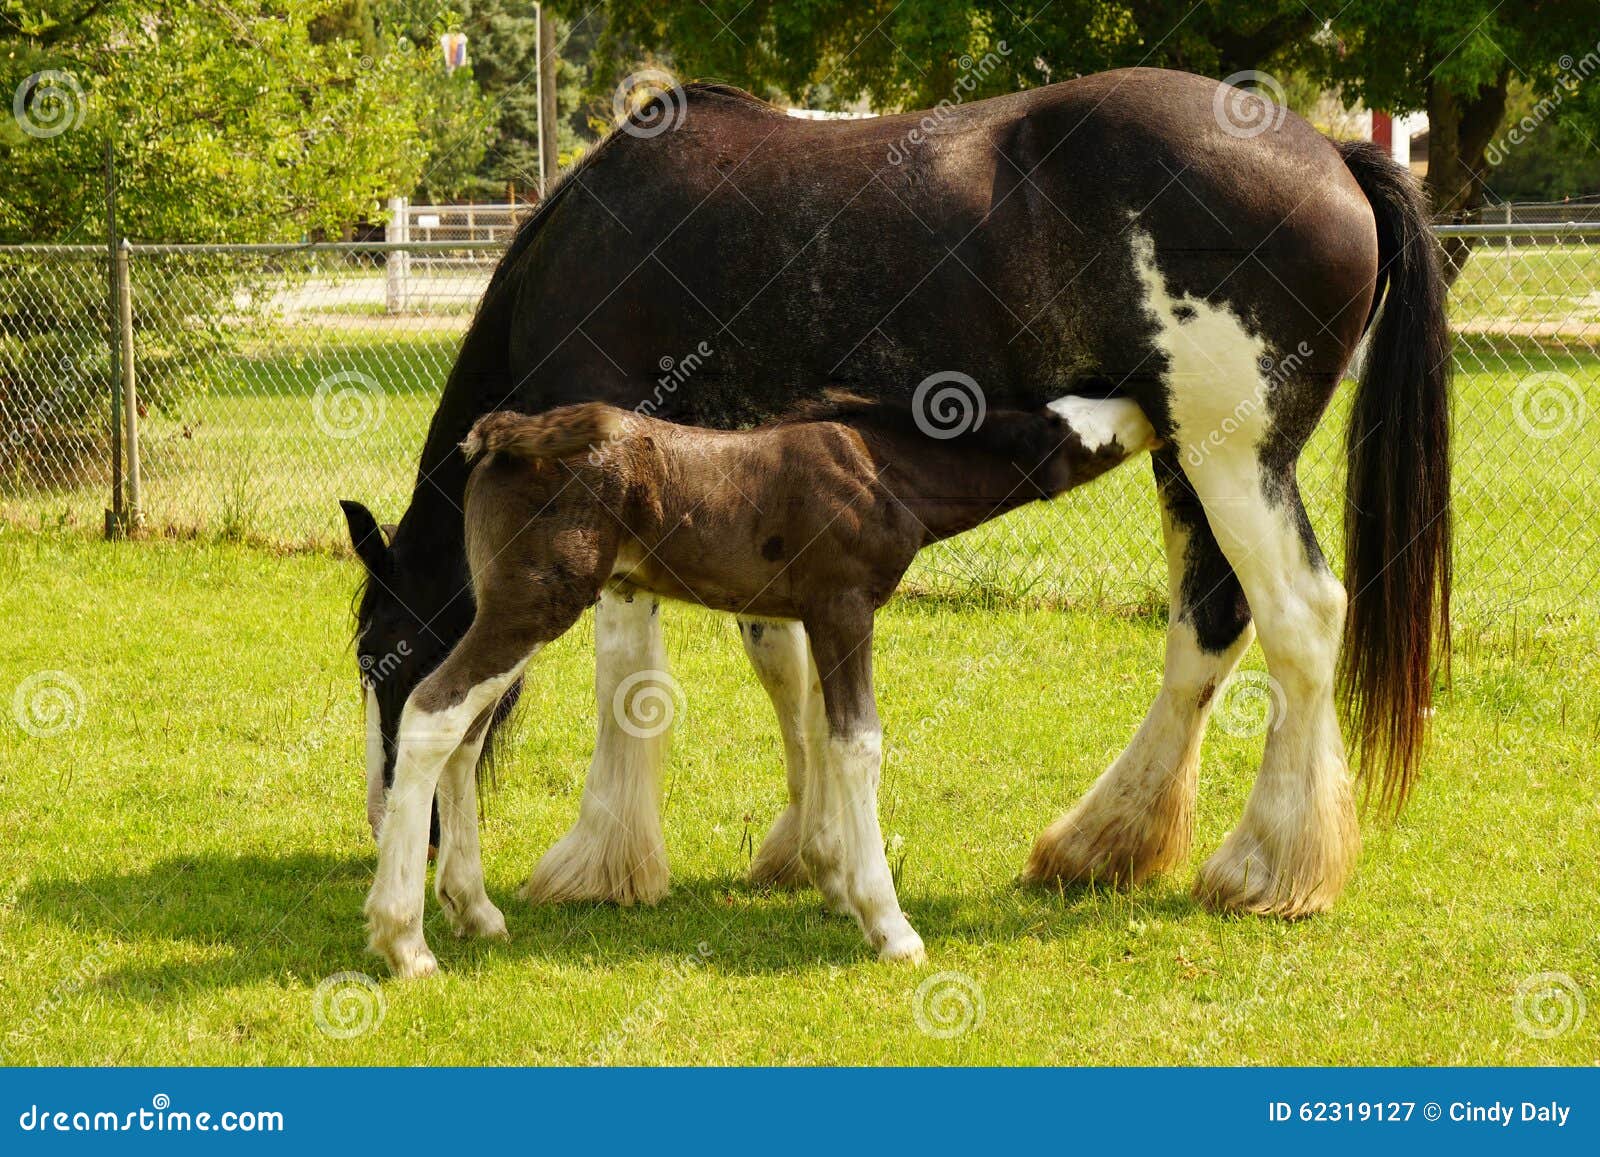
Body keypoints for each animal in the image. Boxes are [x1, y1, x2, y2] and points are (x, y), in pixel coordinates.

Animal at [362, 395, 1159, 976]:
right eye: (1076, 427)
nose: (1152, 411)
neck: (878, 469)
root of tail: (507, 435)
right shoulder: (843, 605)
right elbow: (857, 743)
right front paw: (888, 923)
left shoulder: (806, 616)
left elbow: (814, 731)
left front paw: (833, 883)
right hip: (532, 607)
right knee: (433, 713)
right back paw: (406, 940)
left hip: (510, 609)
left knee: (464, 738)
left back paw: (473, 910)